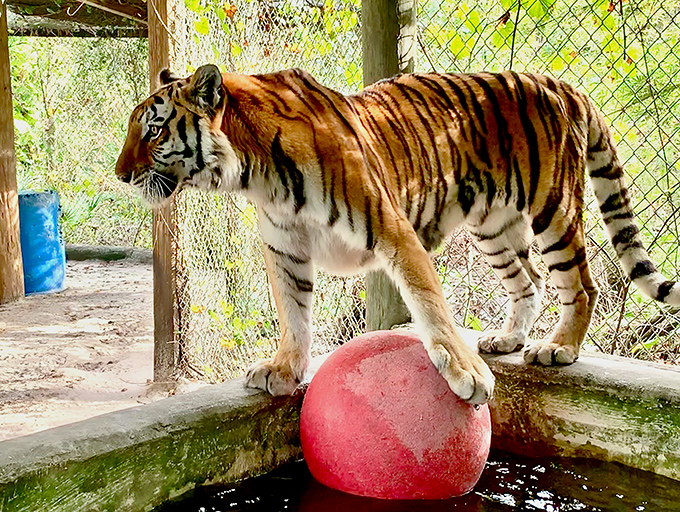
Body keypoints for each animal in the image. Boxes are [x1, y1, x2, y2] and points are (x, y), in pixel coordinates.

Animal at [115, 64, 680, 404]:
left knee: (581, 284)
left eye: (155, 131)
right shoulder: (285, 247)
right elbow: (293, 314)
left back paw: (557, 347)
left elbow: (429, 303)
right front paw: (285, 368)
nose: (120, 175)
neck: (254, 174)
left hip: (553, 209)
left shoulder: (392, 229)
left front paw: (467, 374)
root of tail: (561, 84)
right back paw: (508, 338)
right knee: (531, 281)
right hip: (494, 226)